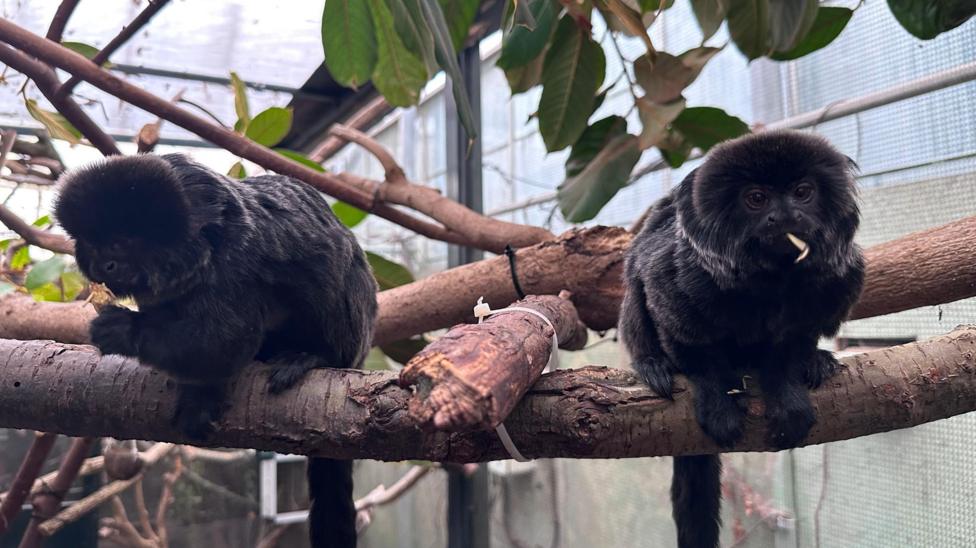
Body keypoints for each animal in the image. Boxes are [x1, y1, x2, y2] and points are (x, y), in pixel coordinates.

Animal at [54, 153, 378, 548]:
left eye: (119, 244)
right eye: (92, 245)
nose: (104, 266)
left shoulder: (236, 260)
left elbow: (224, 341)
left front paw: (123, 329)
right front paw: (200, 398)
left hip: (353, 325)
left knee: (332, 275)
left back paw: (312, 357)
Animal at [618, 130, 864, 548]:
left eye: (802, 192)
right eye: (756, 199)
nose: (784, 215)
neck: (772, 279)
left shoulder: (832, 278)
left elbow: (790, 349)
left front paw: (789, 395)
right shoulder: (677, 278)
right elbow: (690, 344)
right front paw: (718, 404)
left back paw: (818, 361)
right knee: (635, 280)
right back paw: (652, 364)